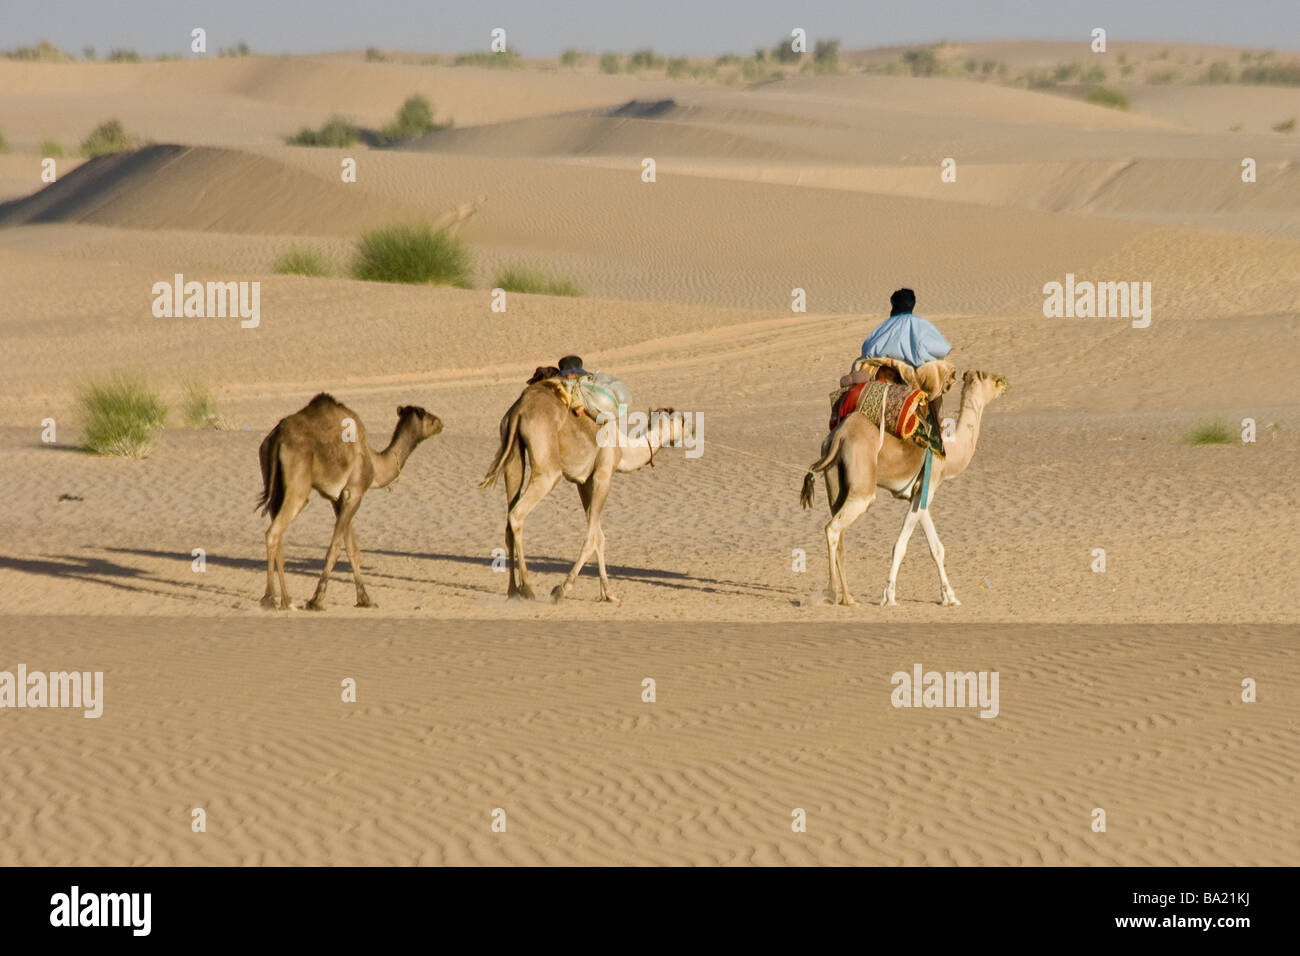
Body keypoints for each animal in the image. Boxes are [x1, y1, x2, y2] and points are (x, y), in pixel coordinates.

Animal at [256, 393, 443, 610]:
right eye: (427, 415)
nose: (440, 422)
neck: (375, 462)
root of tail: (277, 438)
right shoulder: (354, 493)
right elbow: (335, 547)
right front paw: (316, 599)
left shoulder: (339, 499)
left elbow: (352, 548)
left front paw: (365, 599)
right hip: (298, 488)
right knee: (273, 532)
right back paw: (269, 598)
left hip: (275, 486)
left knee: (278, 533)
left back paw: (287, 601)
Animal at [478, 379, 683, 603]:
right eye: (681, 421)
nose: (690, 432)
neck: (623, 448)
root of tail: (519, 410)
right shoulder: (604, 474)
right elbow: (591, 538)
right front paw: (562, 589)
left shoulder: (583, 483)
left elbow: (599, 537)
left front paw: (608, 593)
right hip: (548, 468)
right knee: (517, 514)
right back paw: (528, 588)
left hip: (513, 456)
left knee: (508, 519)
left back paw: (513, 590)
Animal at [800, 370, 1008, 608]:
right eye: (993, 379)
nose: (1005, 383)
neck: (950, 452)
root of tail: (840, 434)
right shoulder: (928, 487)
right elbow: (900, 546)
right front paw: (888, 596)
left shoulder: (919, 494)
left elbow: (936, 548)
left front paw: (950, 597)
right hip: (863, 490)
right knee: (833, 528)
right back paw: (833, 593)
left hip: (834, 480)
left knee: (839, 531)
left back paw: (848, 597)